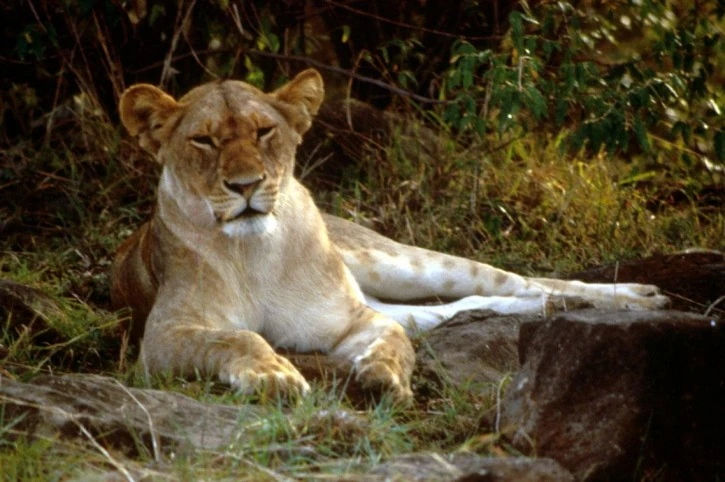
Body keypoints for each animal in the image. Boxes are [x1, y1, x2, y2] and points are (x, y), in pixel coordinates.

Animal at [112, 69, 669, 402]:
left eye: (264, 132)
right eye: (203, 141)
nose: (246, 185)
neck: (254, 253)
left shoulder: (351, 319)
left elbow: (395, 340)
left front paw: (387, 375)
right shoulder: (160, 338)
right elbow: (239, 336)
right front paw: (273, 375)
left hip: (401, 262)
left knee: (517, 280)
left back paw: (636, 298)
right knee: (469, 305)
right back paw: (558, 310)